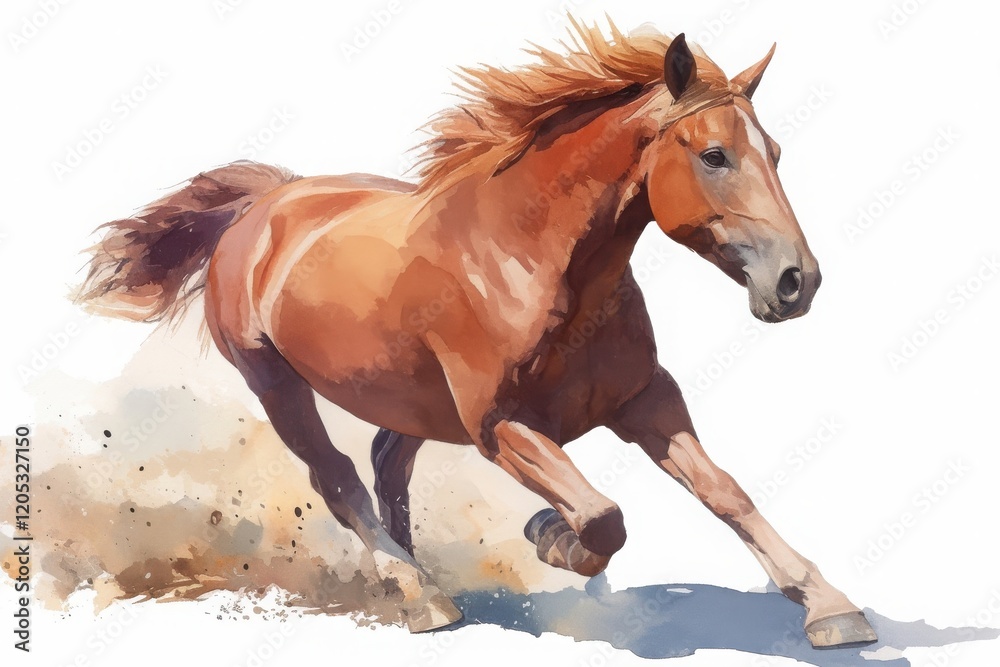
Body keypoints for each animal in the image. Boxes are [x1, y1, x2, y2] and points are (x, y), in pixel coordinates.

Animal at [77, 20, 876, 648]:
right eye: (714, 155)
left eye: (776, 153)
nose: (797, 282)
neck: (533, 264)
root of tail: (268, 202)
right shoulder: (499, 426)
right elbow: (603, 517)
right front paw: (550, 537)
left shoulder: (644, 397)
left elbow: (725, 492)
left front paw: (830, 608)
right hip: (275, 382)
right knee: (337, 478)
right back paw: (420, 594)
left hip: (407, 401)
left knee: (385, 466)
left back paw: (412, 579)